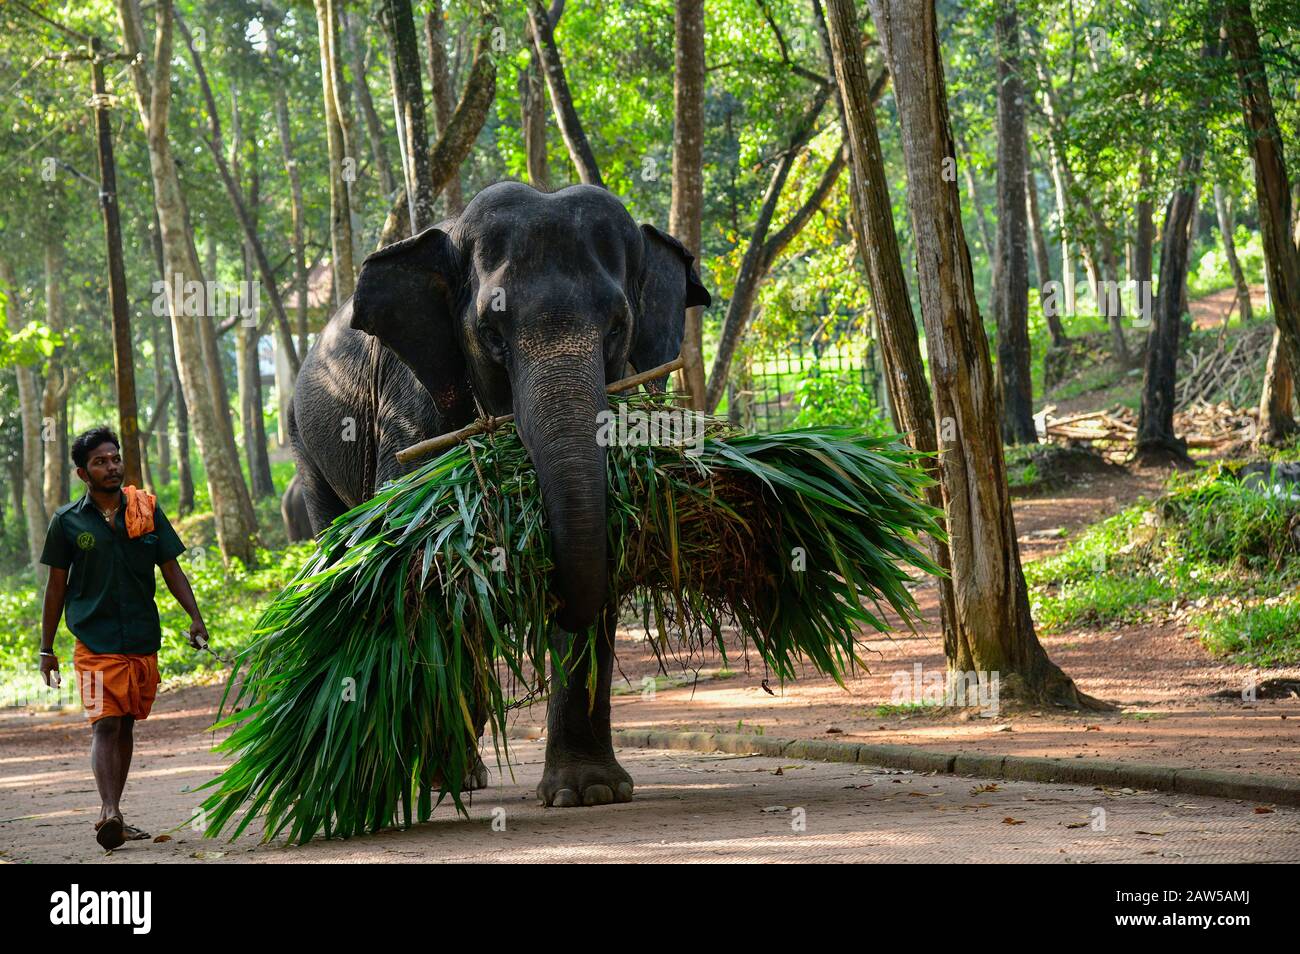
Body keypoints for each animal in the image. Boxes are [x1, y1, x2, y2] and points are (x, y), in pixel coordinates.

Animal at [289, 181, 710, 808]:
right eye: (490, 334)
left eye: (617, 328)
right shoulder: (410, 404)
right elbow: (421, 557)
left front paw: (589, 792)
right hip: (306, 447)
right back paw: (444, 776)